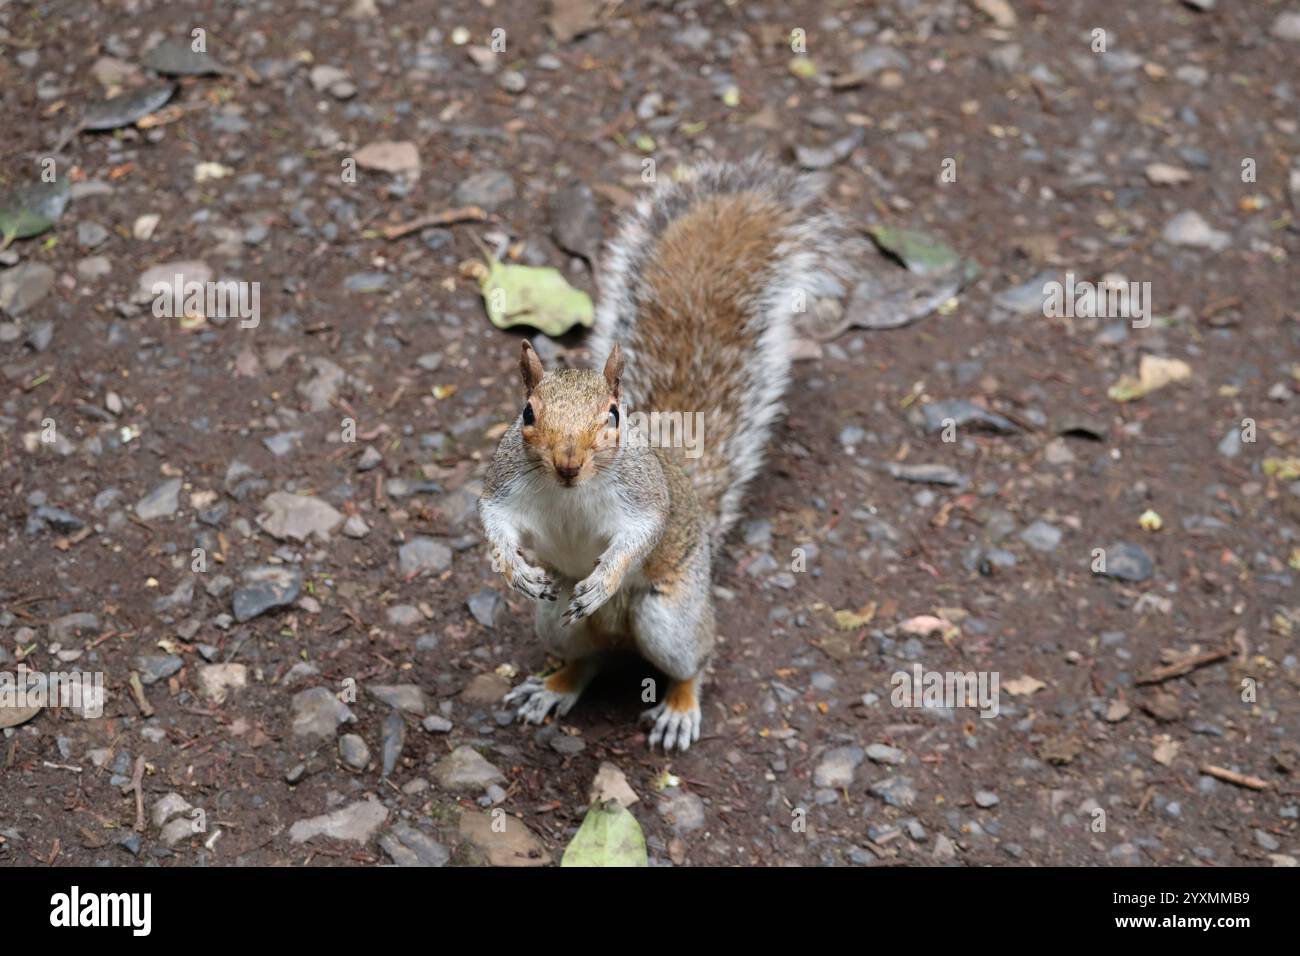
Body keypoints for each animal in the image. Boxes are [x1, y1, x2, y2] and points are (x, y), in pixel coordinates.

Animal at [478, 157, 858, 751]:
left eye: (614, 415)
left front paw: (605, 577)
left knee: (694, 660)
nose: (567, 463)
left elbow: (640, 534)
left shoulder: (643, 497)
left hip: (670, 618)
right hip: (555, 620)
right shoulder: (504, 484)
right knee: (587, 659)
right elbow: (493, 521)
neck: (569, 491)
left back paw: (679, 705)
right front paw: (515, 570)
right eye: (528, 414)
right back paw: (555, 685)